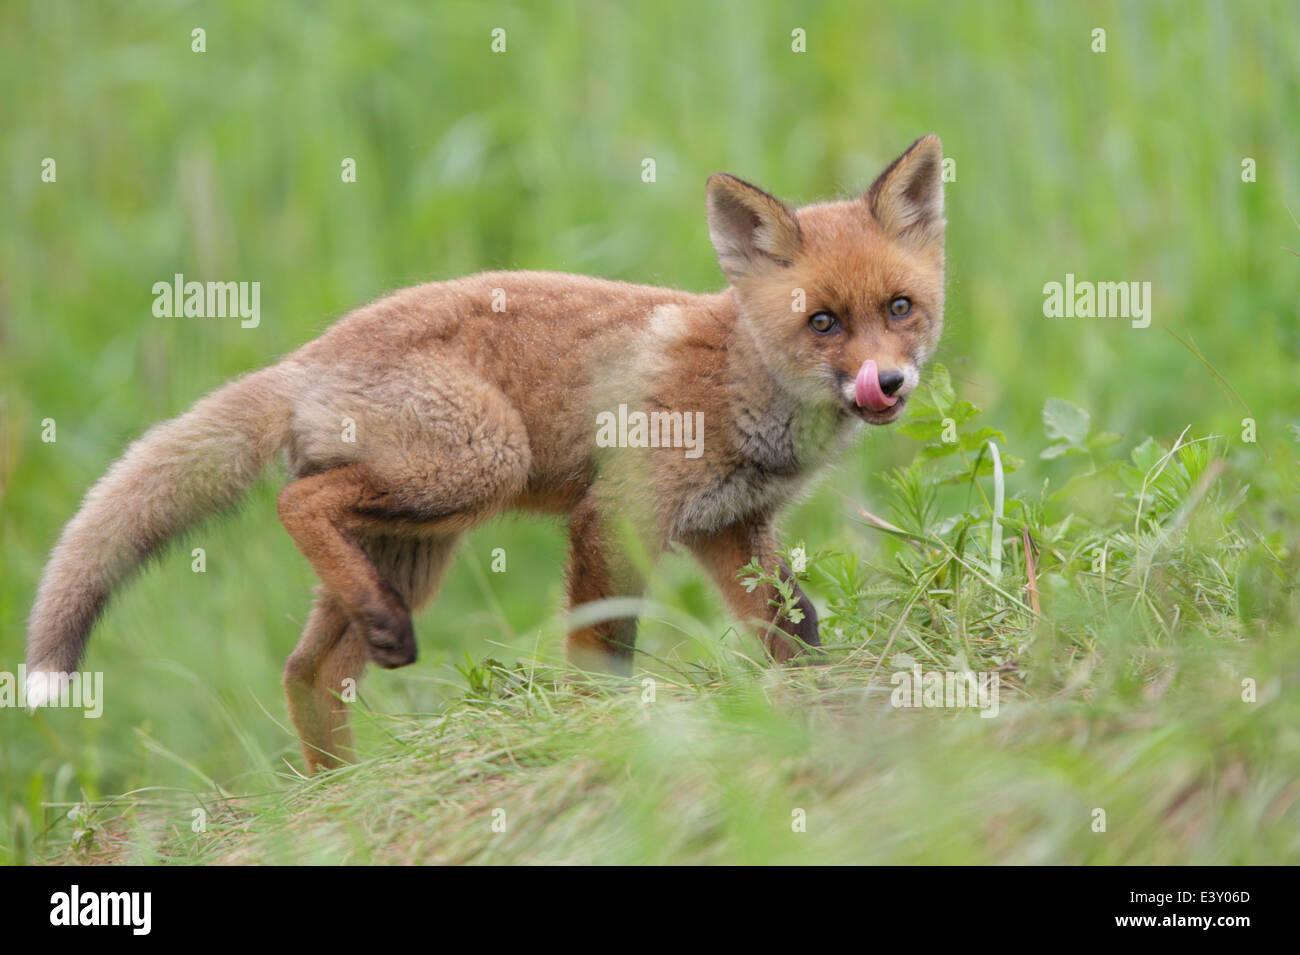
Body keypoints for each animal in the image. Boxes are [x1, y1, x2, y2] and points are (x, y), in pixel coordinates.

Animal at [25, 135, 946, 772]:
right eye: (822, 322)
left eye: (900, 308)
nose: (887, 383)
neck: (741, 382)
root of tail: (303, 359)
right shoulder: (619, 512)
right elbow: (603, 650)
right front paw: (602, 733)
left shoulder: (731, 528)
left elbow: (798, 629)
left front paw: (822, 705)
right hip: (479, 466)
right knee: (298, 506)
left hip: (414, 546)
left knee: (304, 671)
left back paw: (340, 796)